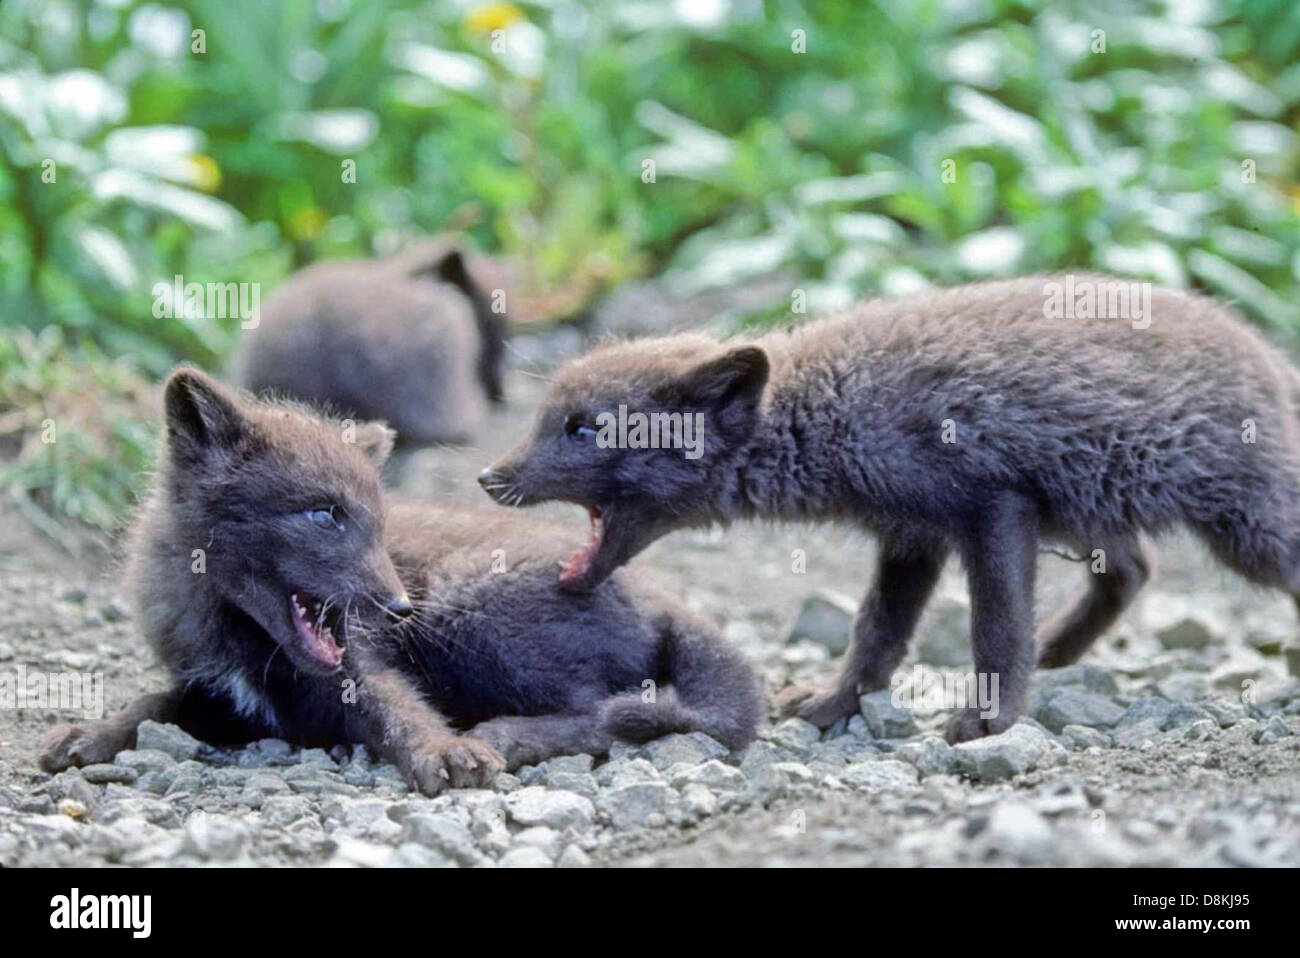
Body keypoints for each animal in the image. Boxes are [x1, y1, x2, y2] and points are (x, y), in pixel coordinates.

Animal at [39, 369, 761, 793]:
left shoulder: (361, 665)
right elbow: (149, 703)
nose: (397, 607)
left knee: (600, 715)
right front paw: (90, 734)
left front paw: (442, 752)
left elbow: (397, 708)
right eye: (324, 514)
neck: (239, 634)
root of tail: (666, 599)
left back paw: (501, 736)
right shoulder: (218, 694)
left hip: (468, 612)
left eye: (377, 523)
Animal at [478, 274, 1300, 742]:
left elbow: (994, 630)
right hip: (1098, 512)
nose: (488, 477)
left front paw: (992, 721)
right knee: (1133, 570)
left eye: (583, 429)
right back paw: (1061, 653)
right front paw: (835, 704)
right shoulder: (911, 536)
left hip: (1246, 530)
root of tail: (1266, 351)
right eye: (544, 419)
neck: (834, 405)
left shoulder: (992, 509)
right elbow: (876, 635)